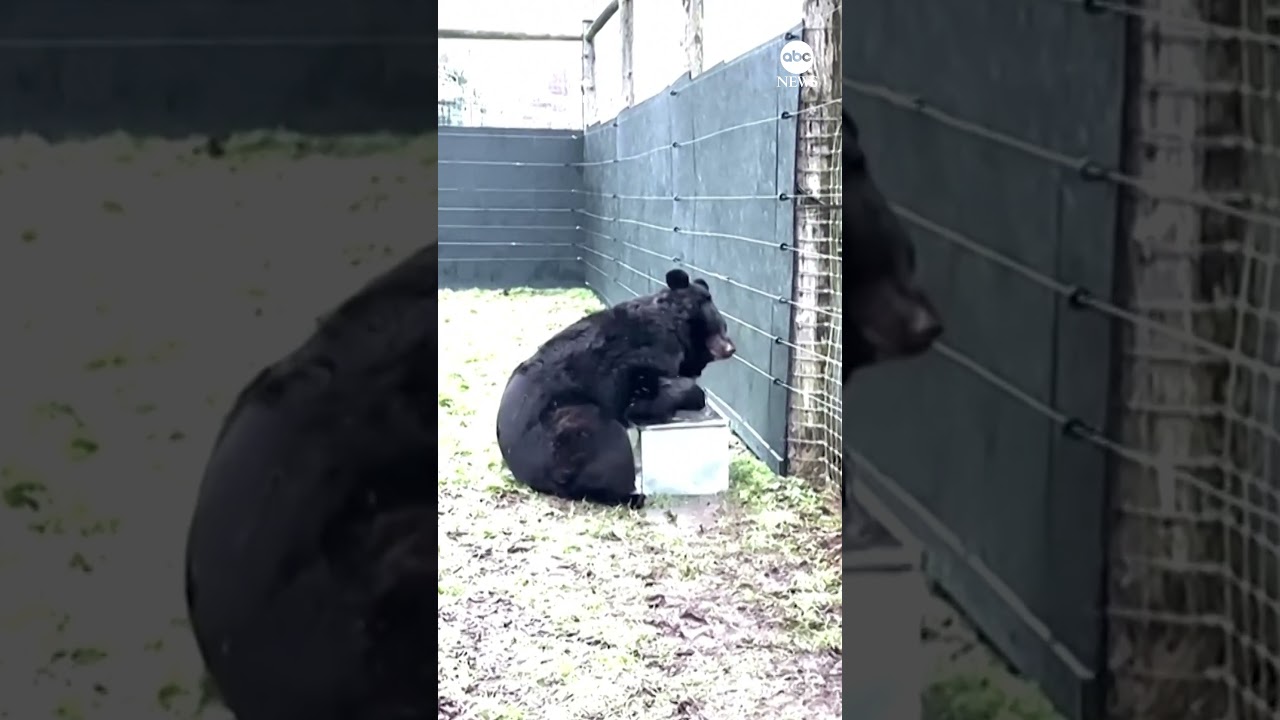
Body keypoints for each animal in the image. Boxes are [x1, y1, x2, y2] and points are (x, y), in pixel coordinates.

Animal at [495, 268, 735, 507]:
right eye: (720, 328)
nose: (731, 348)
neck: (674, 324)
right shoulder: (645, 358)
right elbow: (645, 397)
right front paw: (689, 396)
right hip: (570, 431)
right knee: (609, 444)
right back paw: (631, 496)